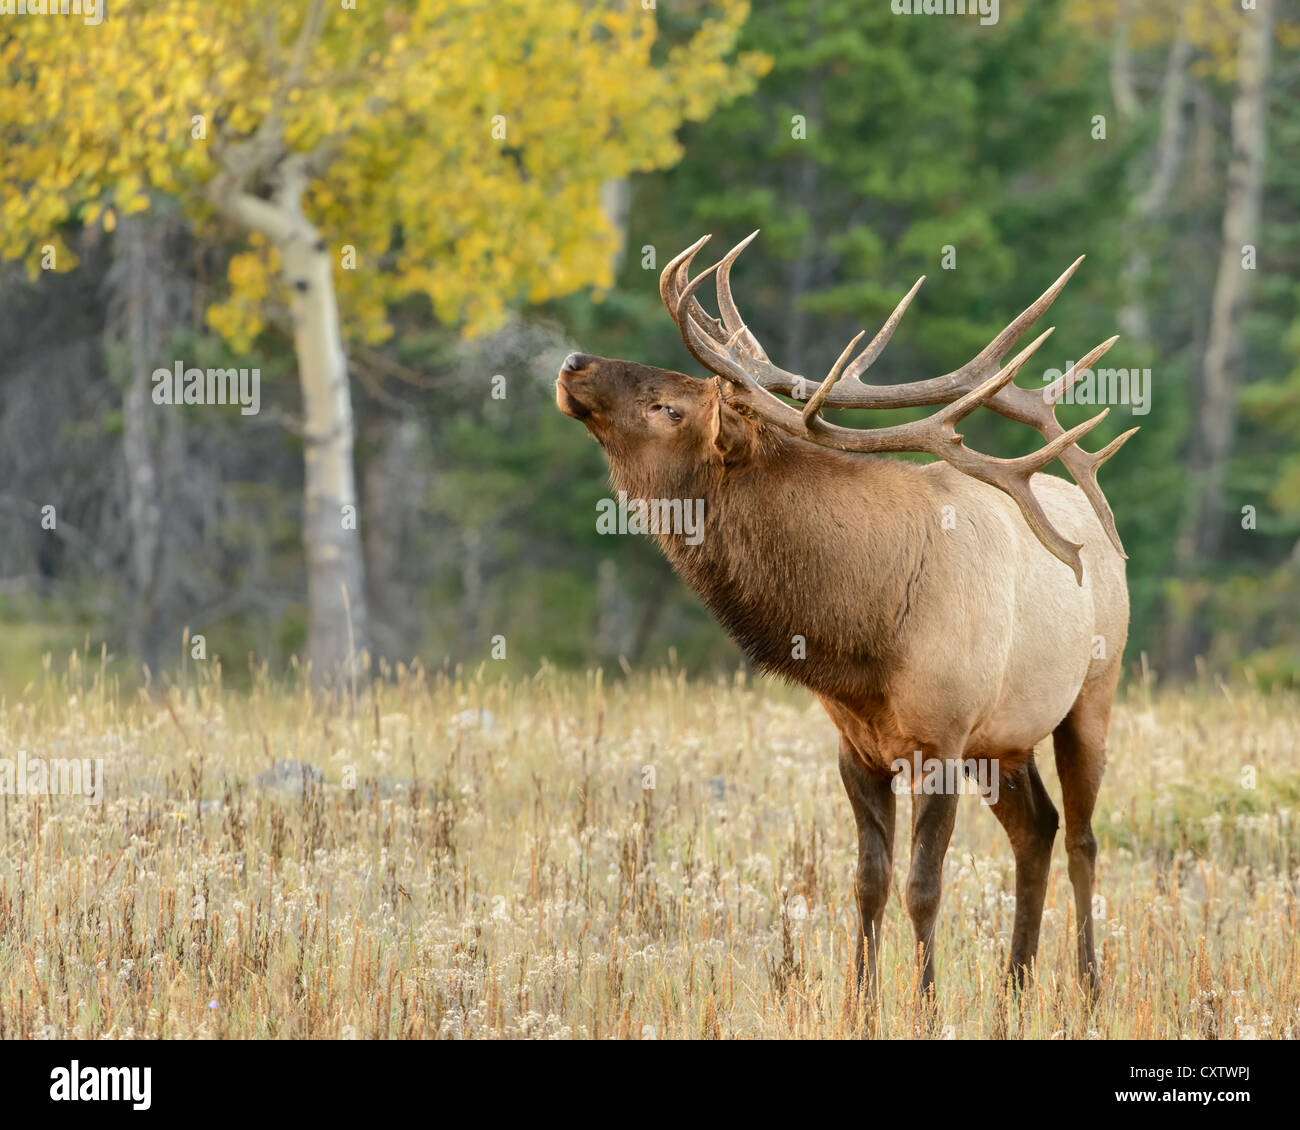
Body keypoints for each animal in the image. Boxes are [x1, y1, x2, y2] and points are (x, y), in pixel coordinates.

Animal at [555, 232, 1136, 1011]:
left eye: (669, 407)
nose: (573, 363)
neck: (863, 640)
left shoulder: (940, 737)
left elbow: (923, 887)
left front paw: (924, 1005)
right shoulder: (856, 746)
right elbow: (867, 883)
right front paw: (859, 1001)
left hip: (1091, 693)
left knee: (1081, 837)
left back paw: (1089, 988)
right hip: (1002, 741)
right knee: (1036, 829)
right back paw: (1013, 990)